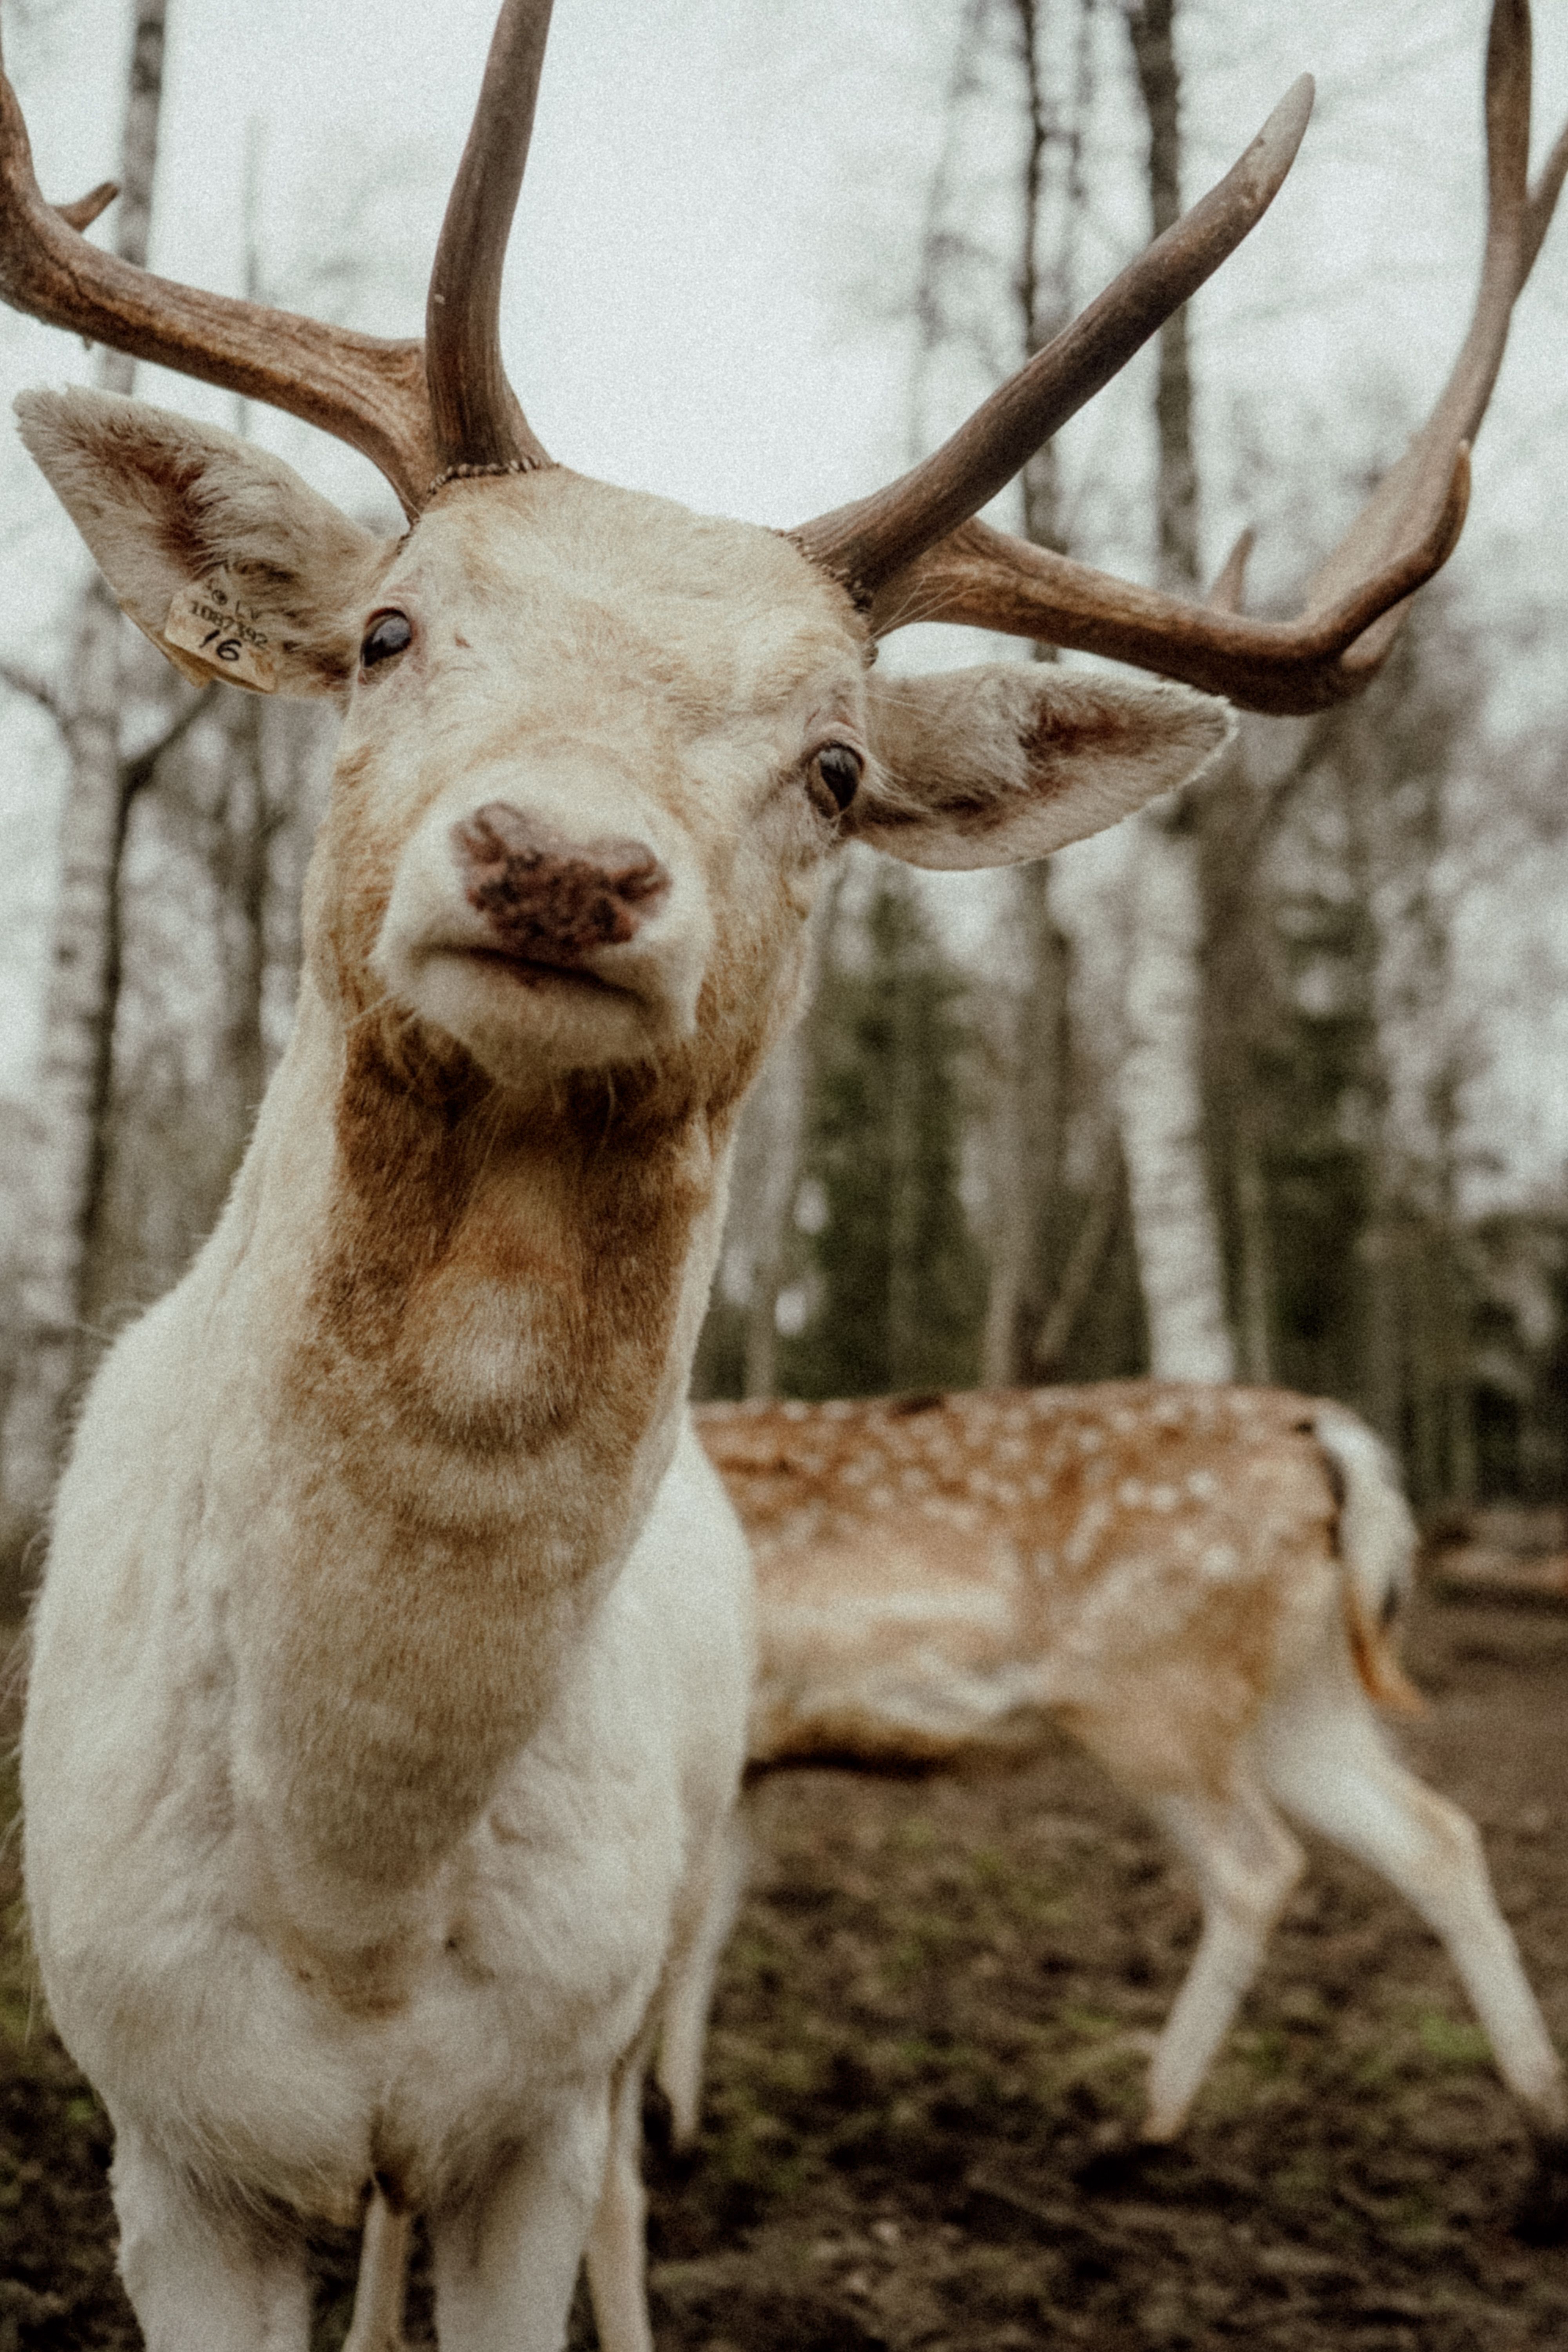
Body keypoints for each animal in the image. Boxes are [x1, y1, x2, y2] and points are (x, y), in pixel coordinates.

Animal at [697, 1382, 1568, 2213]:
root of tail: (1327, 1436)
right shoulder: (744, 1768)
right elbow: (706, 1930)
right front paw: (682, 2129)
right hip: (1300, 1702)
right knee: (1435, 1836)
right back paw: (1543, 2138)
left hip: (1154, 1696)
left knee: (1258, 1866)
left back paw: (1139, 2132)